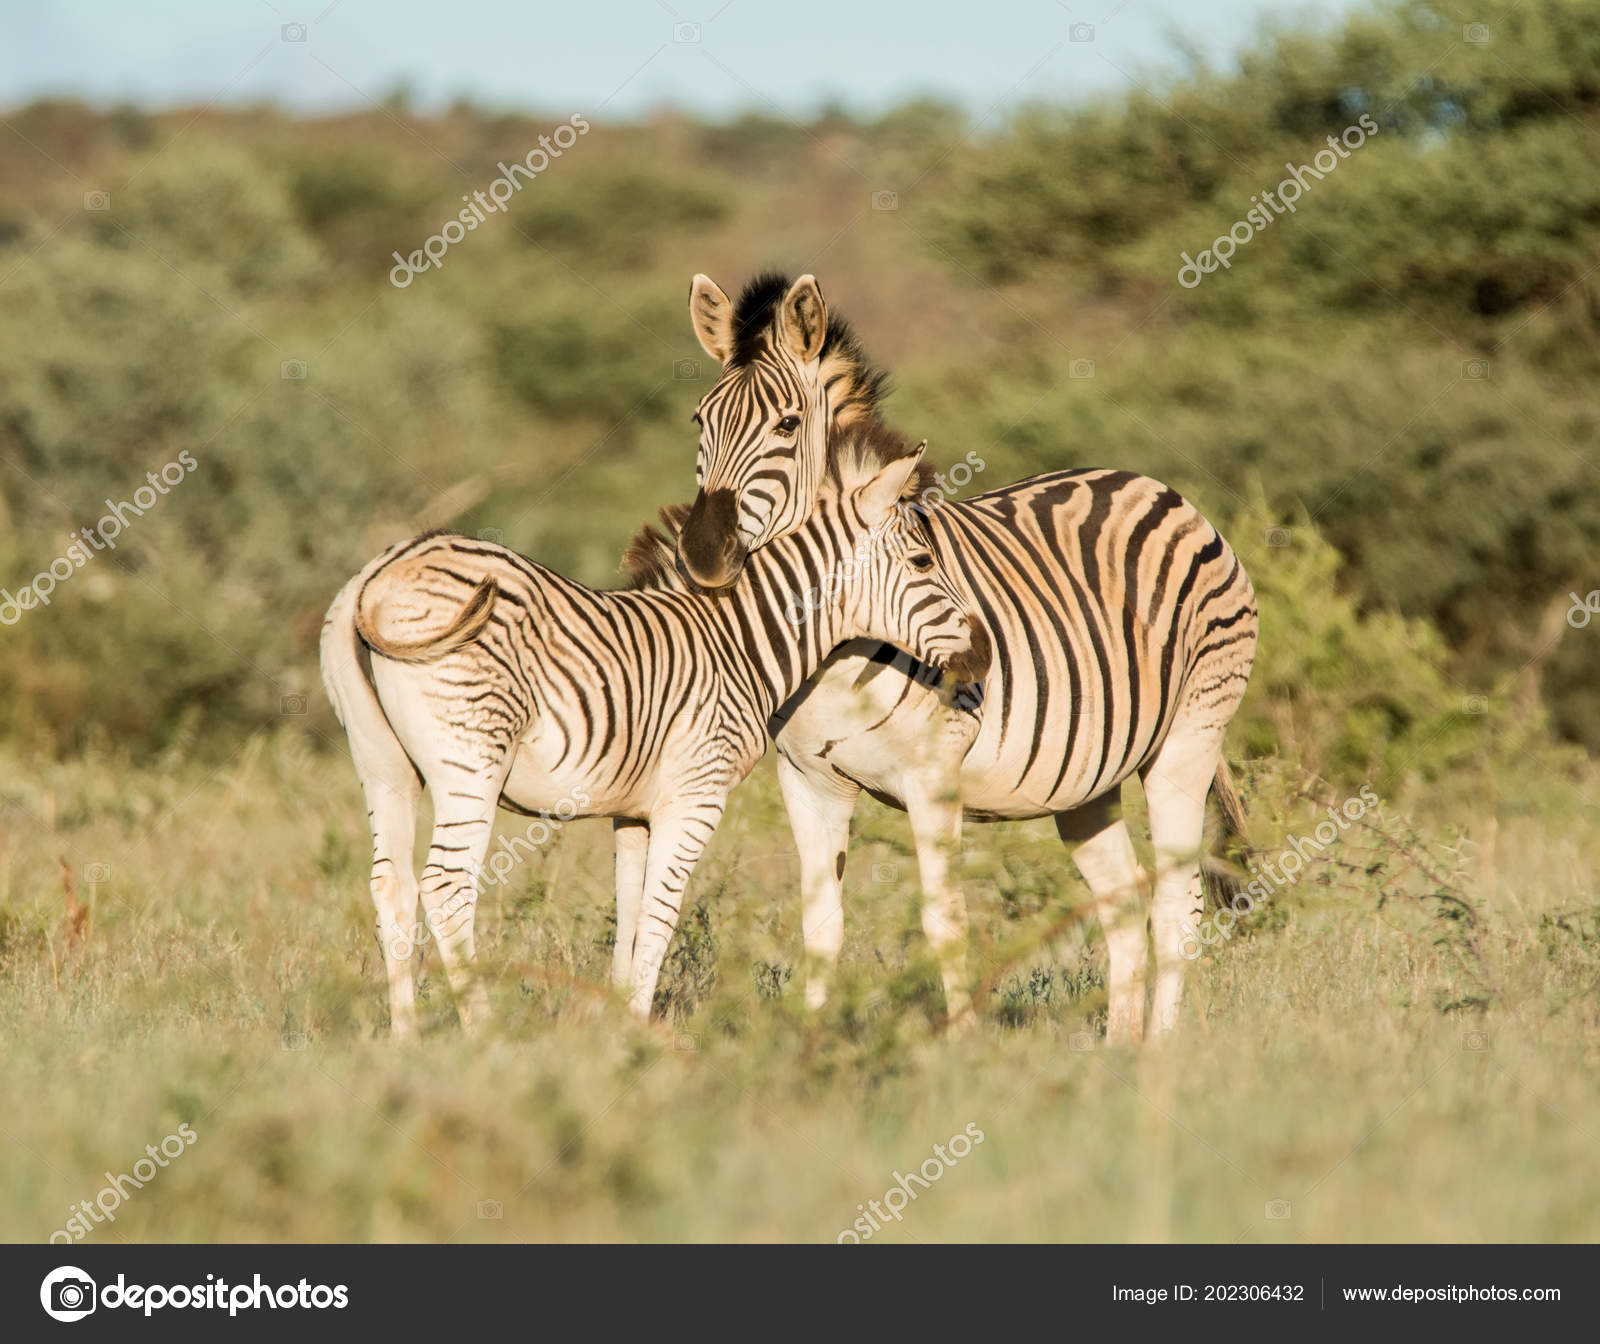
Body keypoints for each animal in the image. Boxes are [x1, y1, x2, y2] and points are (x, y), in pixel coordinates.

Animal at [318, 431, 988, 1036]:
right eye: (924, 563)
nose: (983, 657)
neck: (737, 644)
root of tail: (384, 569)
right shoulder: (695, 795)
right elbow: (662, 915)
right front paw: (641, 1033)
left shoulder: (632, 812)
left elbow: (631, 915)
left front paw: (619, 1023)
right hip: (472, 758)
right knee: (447, 886)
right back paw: (481, 1032)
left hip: (384, 766)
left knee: (392, 885)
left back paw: (406, 1038)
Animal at [675, 272, 1258, 1042]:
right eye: (698, 423)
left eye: (787, 426)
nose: (704, 555)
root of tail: (1154, 487)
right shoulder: (808, 781)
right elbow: (821, 927)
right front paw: (813, 1048)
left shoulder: (932, 780)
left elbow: (944, 924)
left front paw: (958, 1053)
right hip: (1087, 782)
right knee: (1123, 902)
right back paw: (1117, 1051)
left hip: (1189, 737)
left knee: (1176, 903)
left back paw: (1159, 1050)